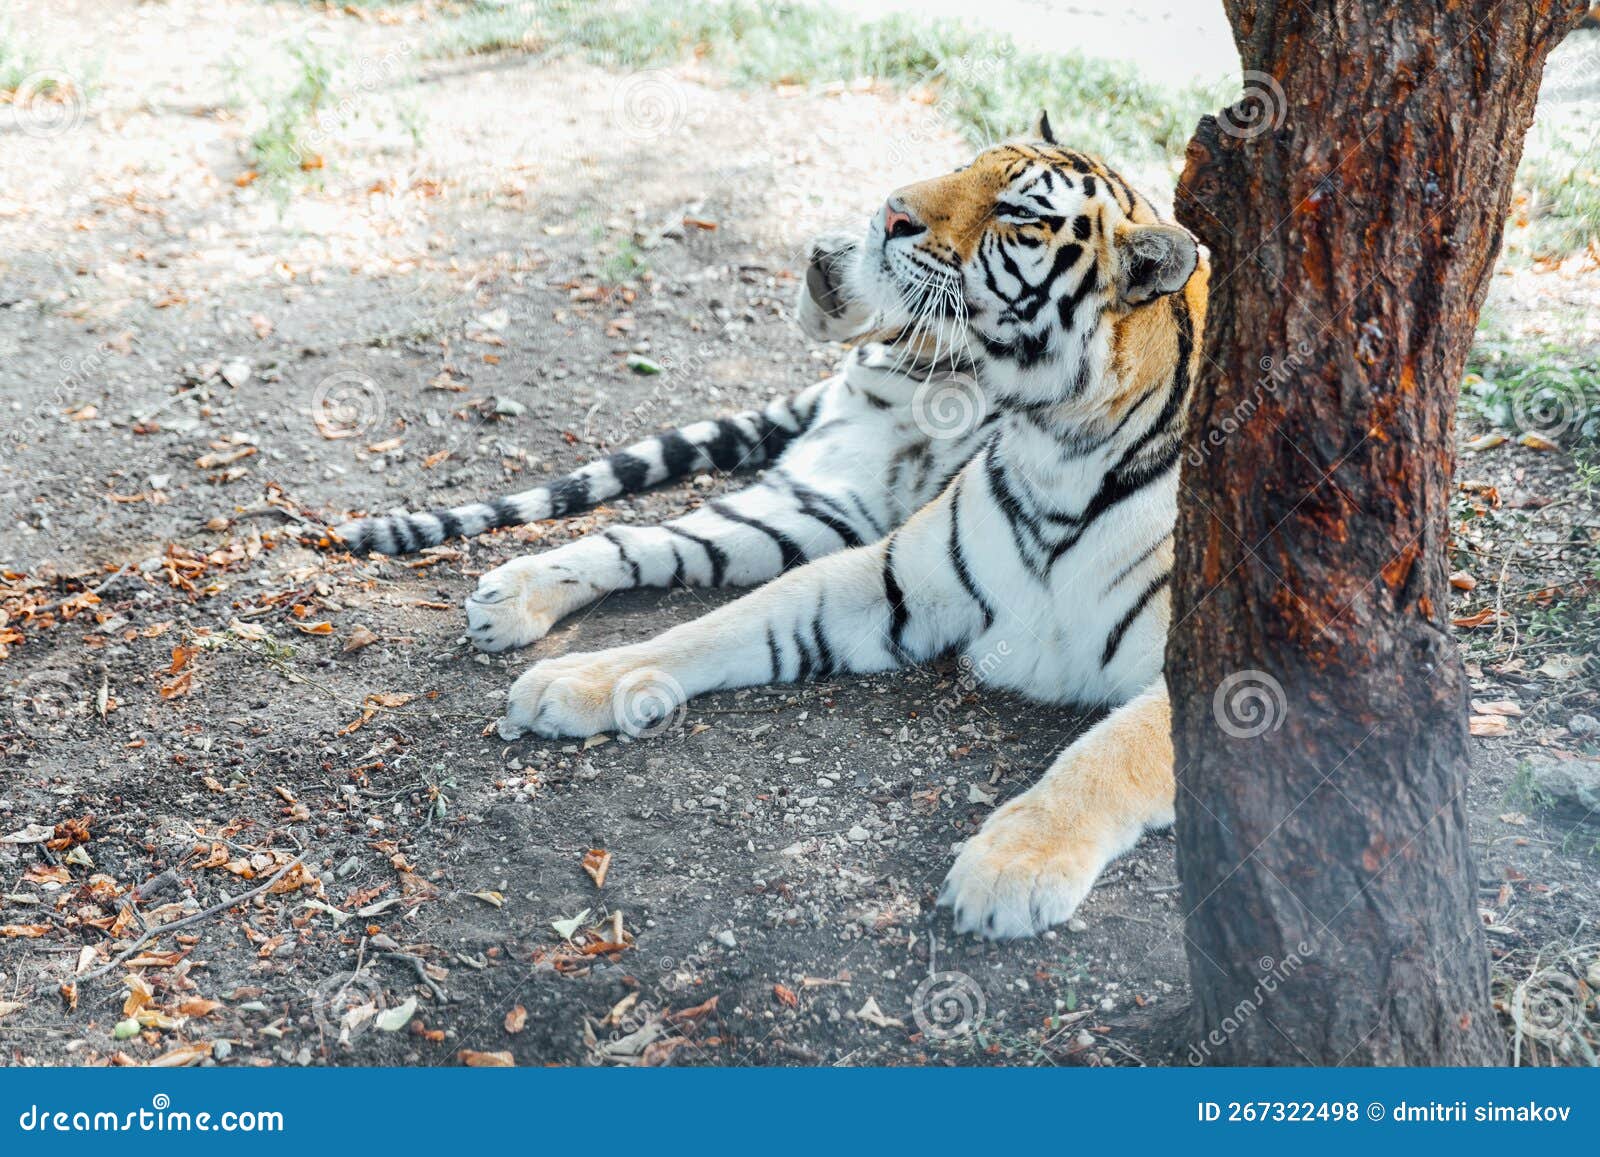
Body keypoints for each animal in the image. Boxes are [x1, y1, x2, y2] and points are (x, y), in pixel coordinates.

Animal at [335, 113, 1206, 939]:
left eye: (1018, 215)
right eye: (966, 165)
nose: (887, 213)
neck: (1058, 442)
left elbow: (1104, 757)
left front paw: (1011, 868)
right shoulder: (895, 573)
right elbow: (713, 628)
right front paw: (576, 679)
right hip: (821, 495)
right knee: (645, 538)